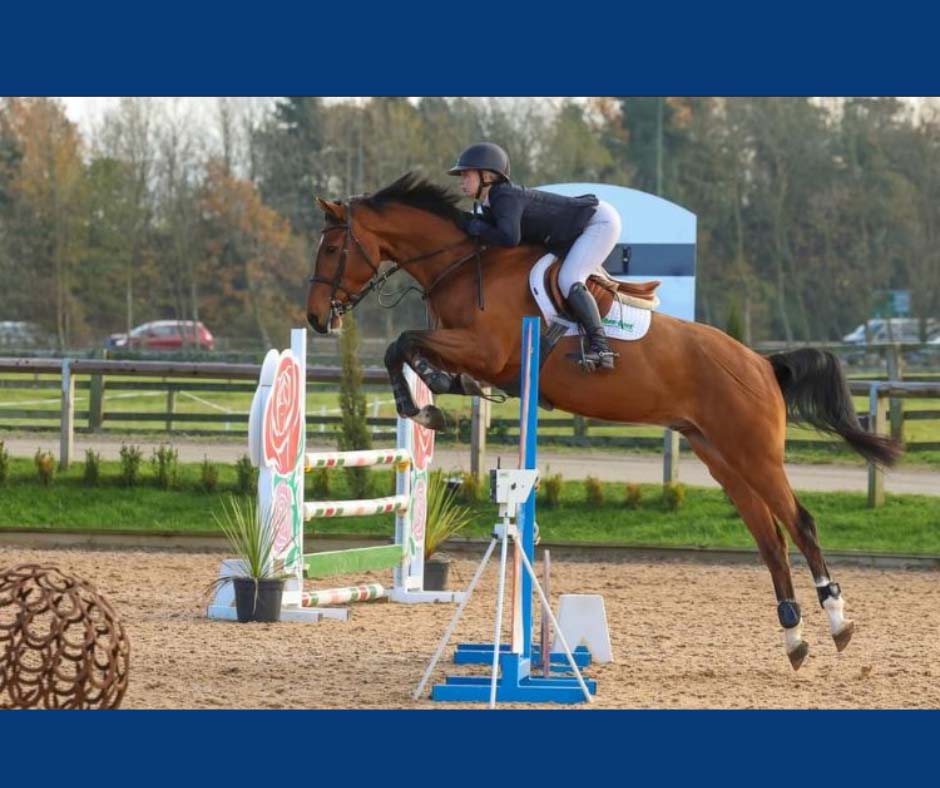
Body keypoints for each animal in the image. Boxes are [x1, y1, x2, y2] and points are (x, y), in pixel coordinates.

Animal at [306, 172, 901, 671]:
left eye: (333, 248)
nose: (315, 319)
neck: (463, 261)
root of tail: (761, 364)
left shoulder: (486, 350)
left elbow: (403, 343)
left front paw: (423, 404)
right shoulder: (473, 352)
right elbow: (410, 350)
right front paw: (433, 393)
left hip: (755, 454)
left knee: (800, 524)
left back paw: (837, 623)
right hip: (722, 458)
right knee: (770, 539)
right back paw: (794, 639)